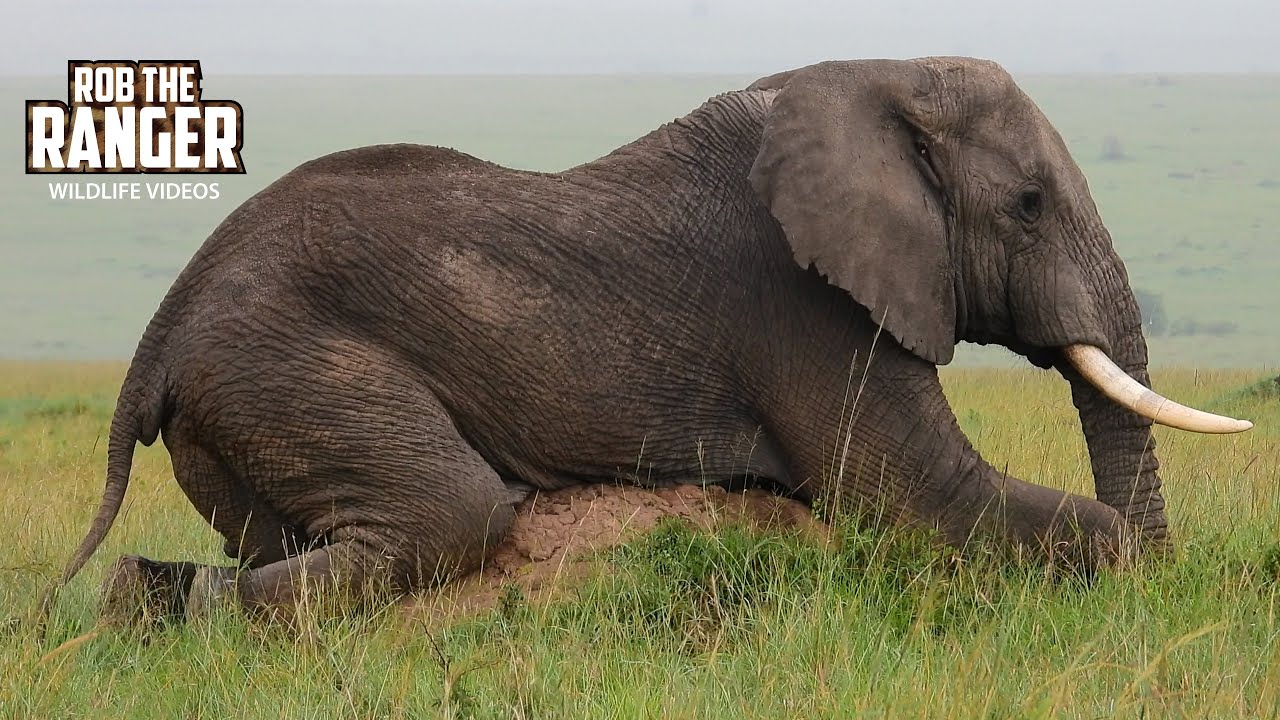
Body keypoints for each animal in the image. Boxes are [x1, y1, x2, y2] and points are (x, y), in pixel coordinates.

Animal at [43, 57, 1251, 623]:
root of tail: (157, 337)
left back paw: (138, 609)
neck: (865, 78)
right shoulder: (797, 298)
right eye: (1031, 206)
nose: (1171, 585)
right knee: (451, 511)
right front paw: (1123, 560)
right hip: (284, 364)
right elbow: (922, 498)